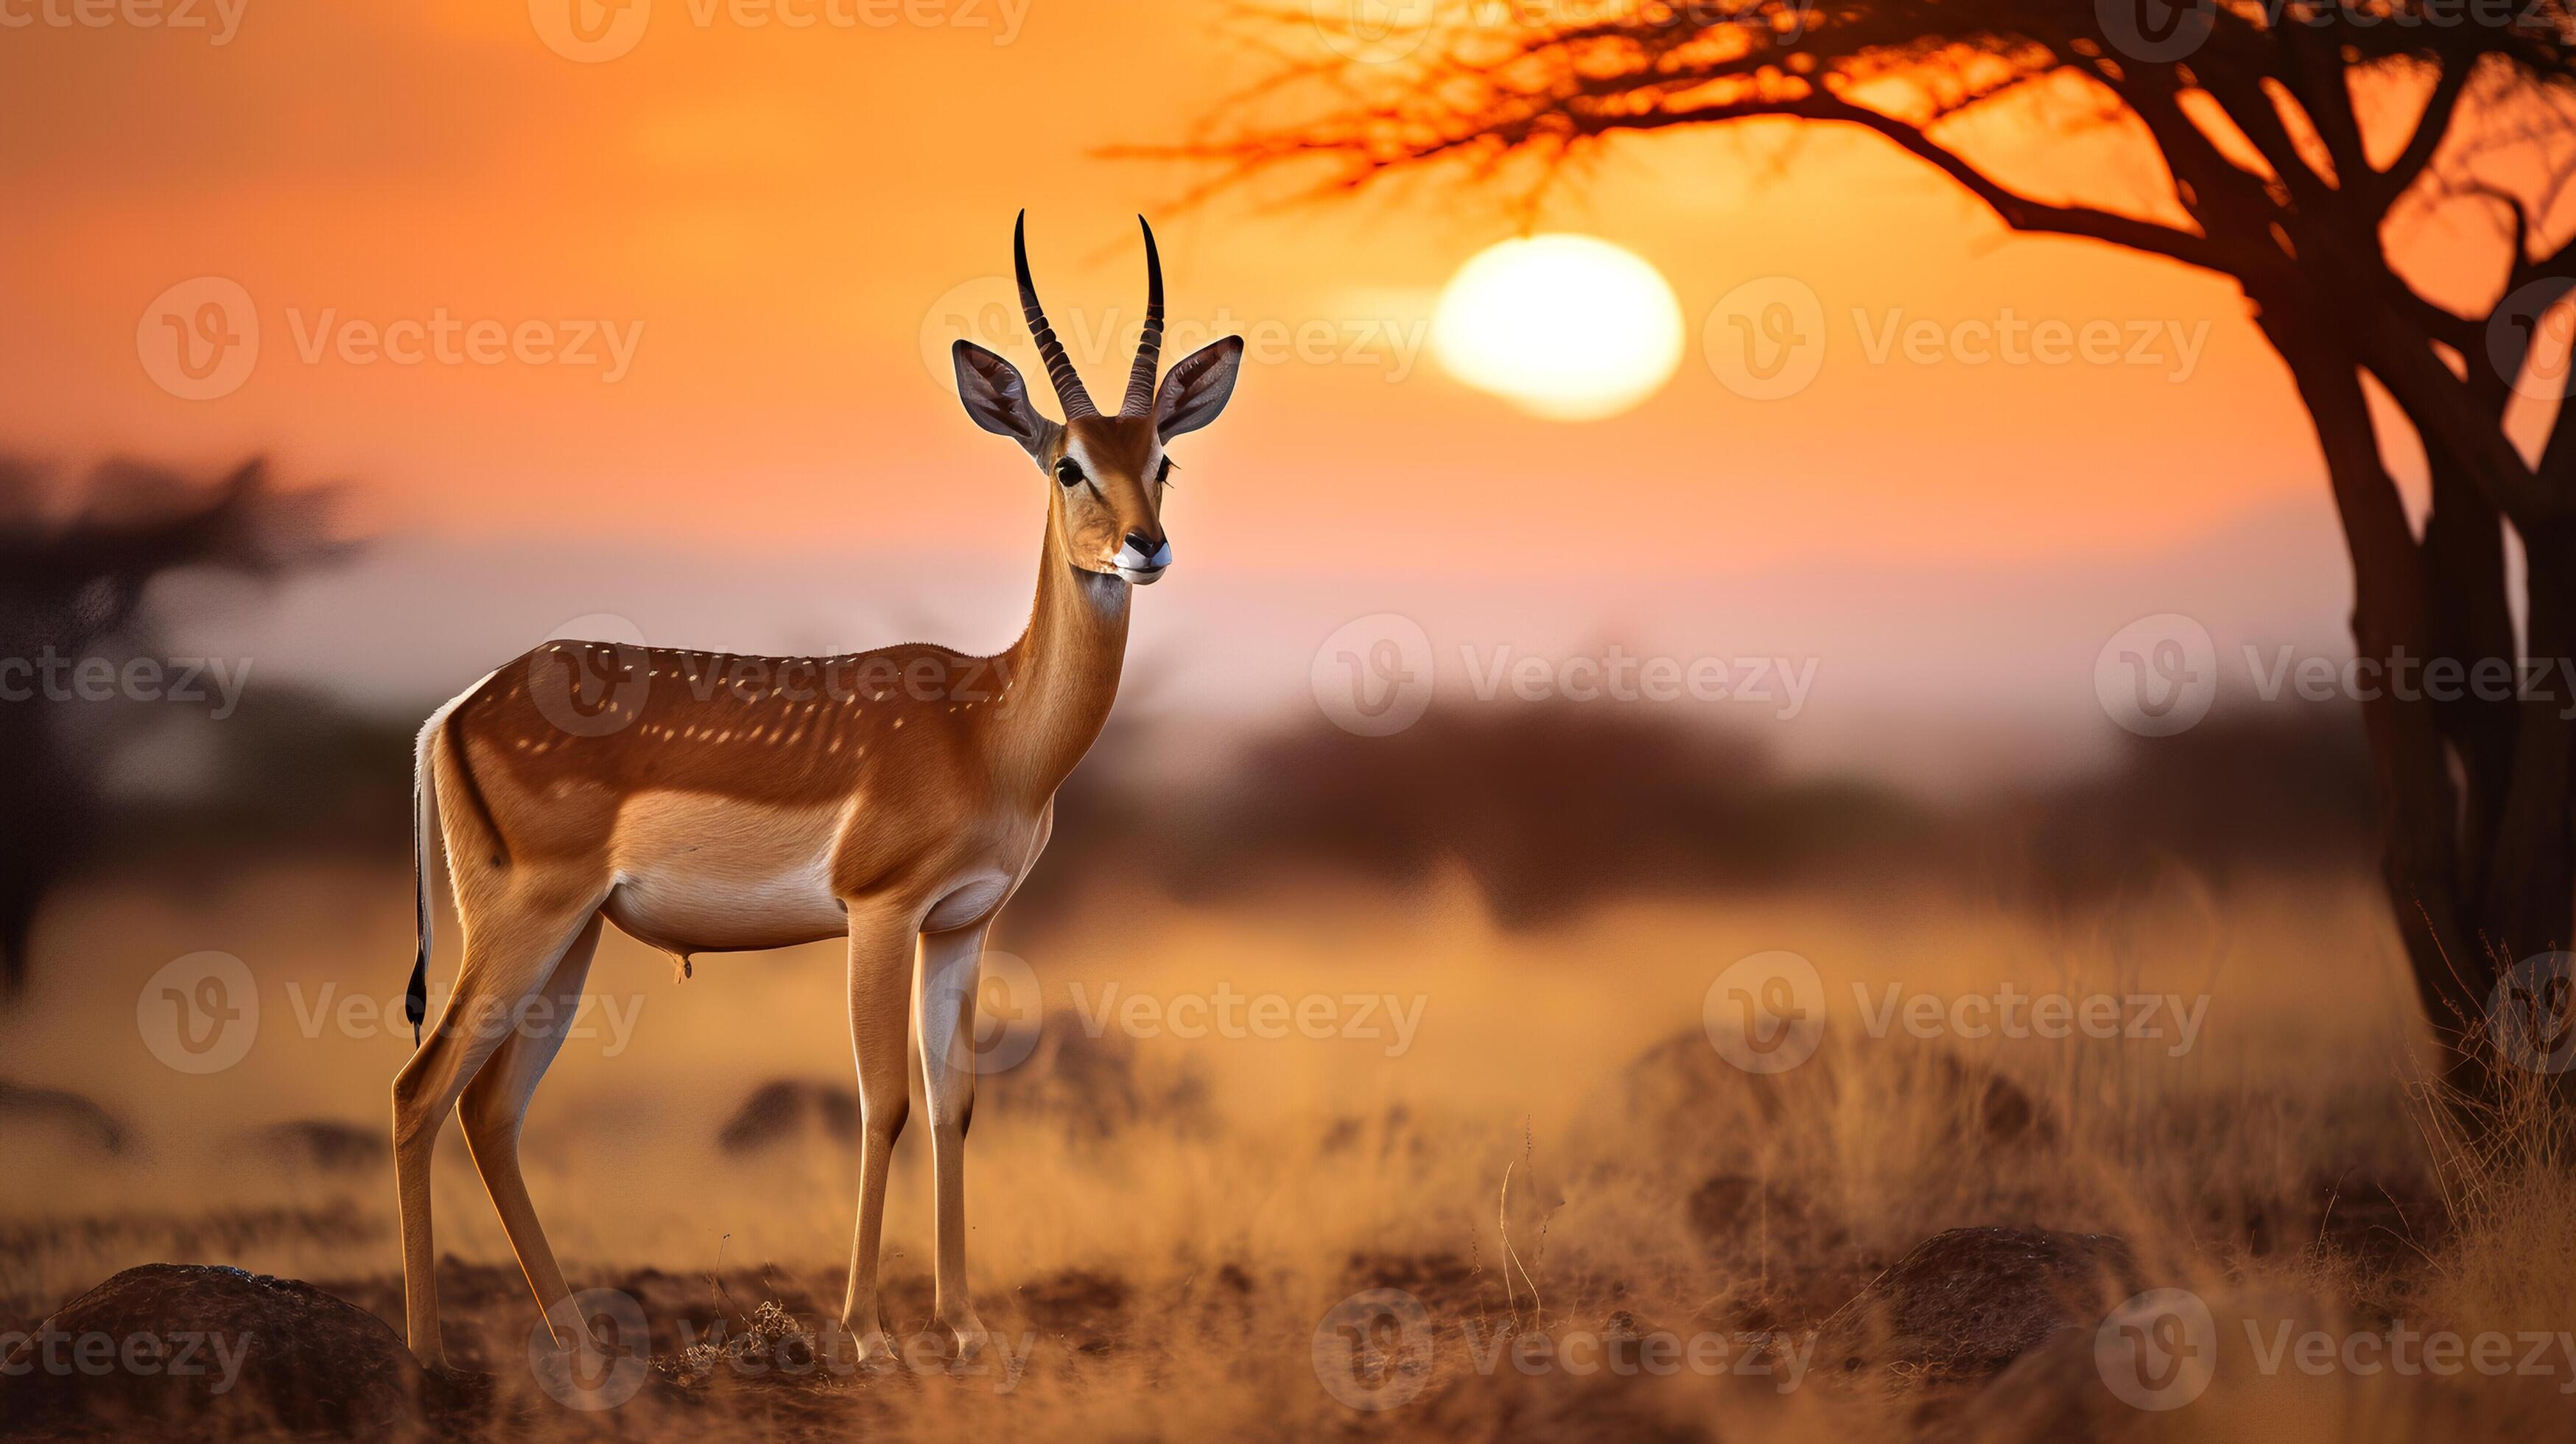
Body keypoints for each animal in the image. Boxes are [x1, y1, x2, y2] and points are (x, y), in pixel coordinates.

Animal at [390, 214, 1242, 1370]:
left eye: (1162, 457)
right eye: (1067, 464)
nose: (1145, 547)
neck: (988, 724)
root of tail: (461, 706)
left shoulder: (961, 926)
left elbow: (952, 1102)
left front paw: (966, 1328)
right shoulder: (879, 913)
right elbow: (883, 1101)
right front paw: (868, 1334)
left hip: (571, 937)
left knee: (490, 1108)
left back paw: (579, 1344)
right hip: (524, 923)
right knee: (420, 1091)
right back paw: (427, 1356)